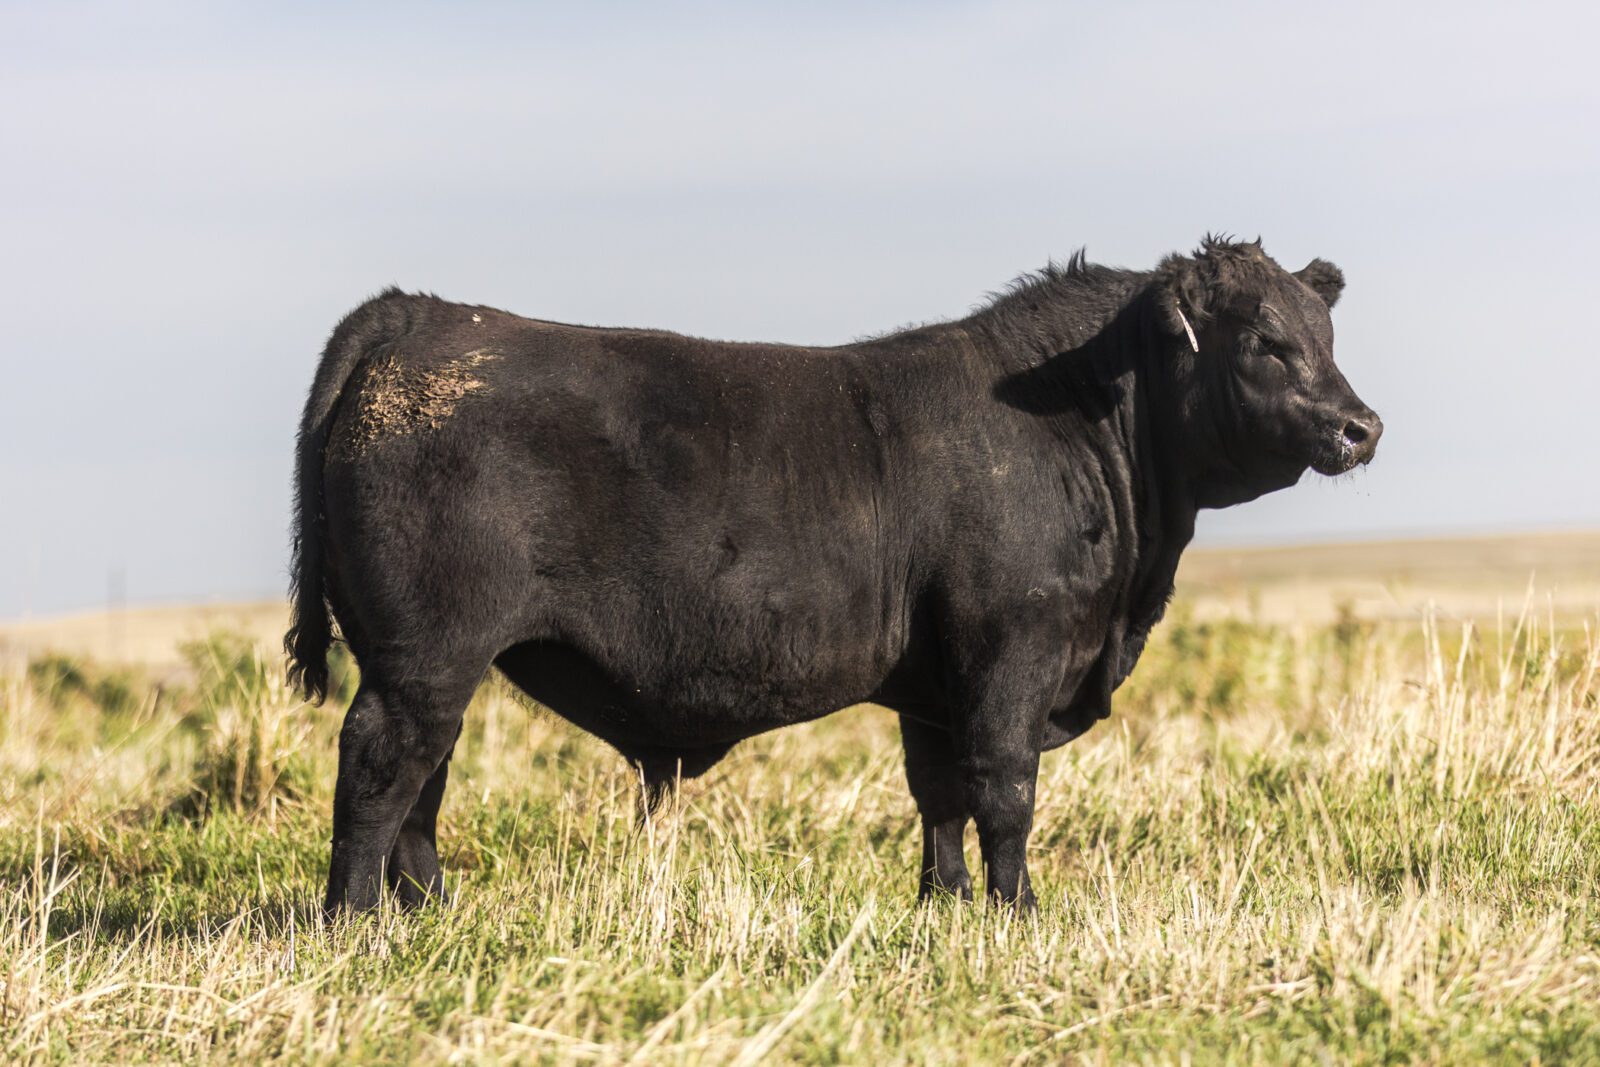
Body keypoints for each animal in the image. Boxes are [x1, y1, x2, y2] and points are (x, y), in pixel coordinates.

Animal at [287, 237, 1381, 912]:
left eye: (1325, 335)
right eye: (1265, 341)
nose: (1359, 426)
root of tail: (418, 315)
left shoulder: (937, 685)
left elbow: (939, 795)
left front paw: (944, 906)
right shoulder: (1011, 652)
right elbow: (1004, 788)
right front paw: (1020, 911)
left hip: (430, 665)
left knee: (422, 785)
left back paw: (430, 911)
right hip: (425, 657)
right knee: (381, 771)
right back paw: (358, 920)